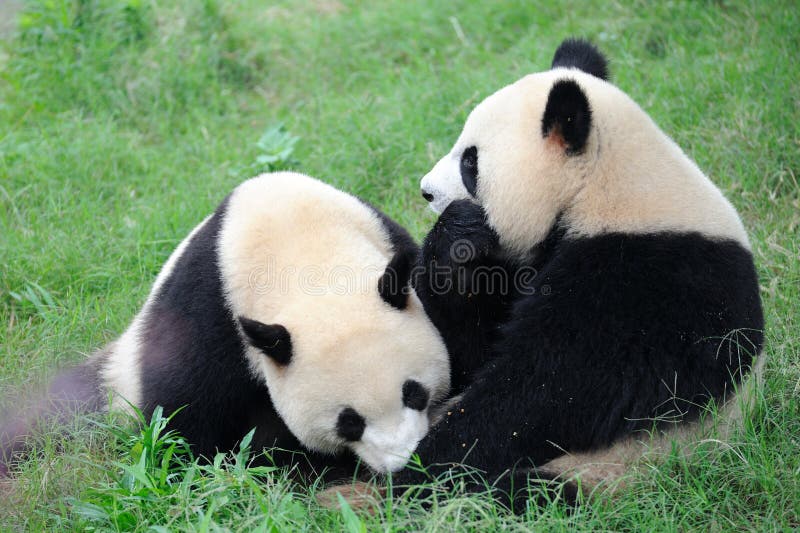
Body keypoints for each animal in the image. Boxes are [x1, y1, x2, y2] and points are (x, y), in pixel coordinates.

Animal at [0, 172, 450, 479]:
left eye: (414, 393)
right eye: (349, 422)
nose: (403, 461)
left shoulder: (390, 242)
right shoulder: (210, 314)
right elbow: (182, 417)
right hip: (114, 386)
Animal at [400, 38, 764, 507]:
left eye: (470, 162)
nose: (426, 190)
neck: (602, 189)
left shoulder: (648, 282)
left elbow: (555, 387)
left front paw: (429, 461)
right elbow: (469, 353)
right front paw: (458, 238)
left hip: (624, 466)